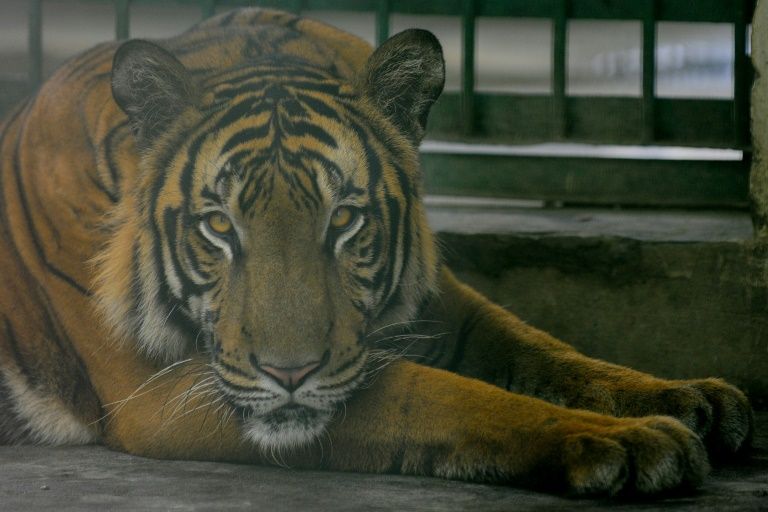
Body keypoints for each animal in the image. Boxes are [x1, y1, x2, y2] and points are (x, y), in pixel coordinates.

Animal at [0, 7, 752, 497]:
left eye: (344, 219)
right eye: (218, 225)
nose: (290, 373)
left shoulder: (440, 304)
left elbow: (540, 349)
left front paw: (688, 397)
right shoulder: (166, 390)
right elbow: (438, 396)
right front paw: (629, 440)